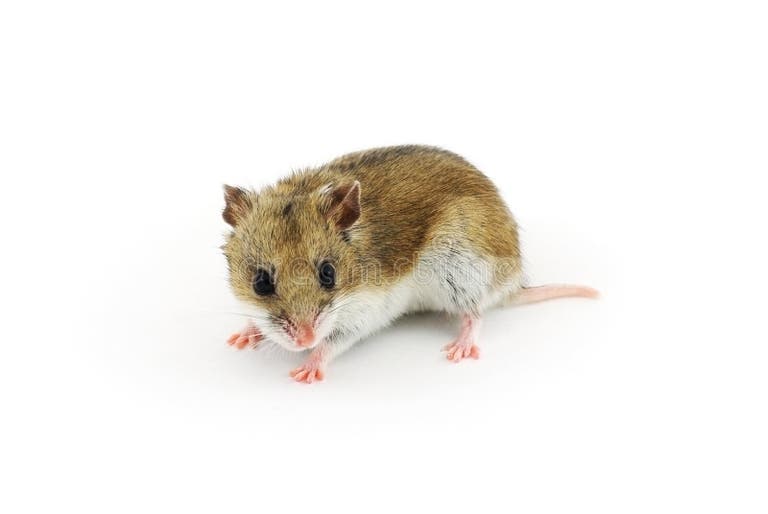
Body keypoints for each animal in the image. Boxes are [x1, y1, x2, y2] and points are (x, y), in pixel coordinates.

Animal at [222, 145, 597, 383]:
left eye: (328, 274)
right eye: (260, 282)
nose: (304, 340)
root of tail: (515, 281)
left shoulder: (363, 315)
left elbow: (332, 343)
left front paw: (304, 372)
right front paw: (240, 338)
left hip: (460, 270)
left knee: (475, 313)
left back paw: (459, 349)